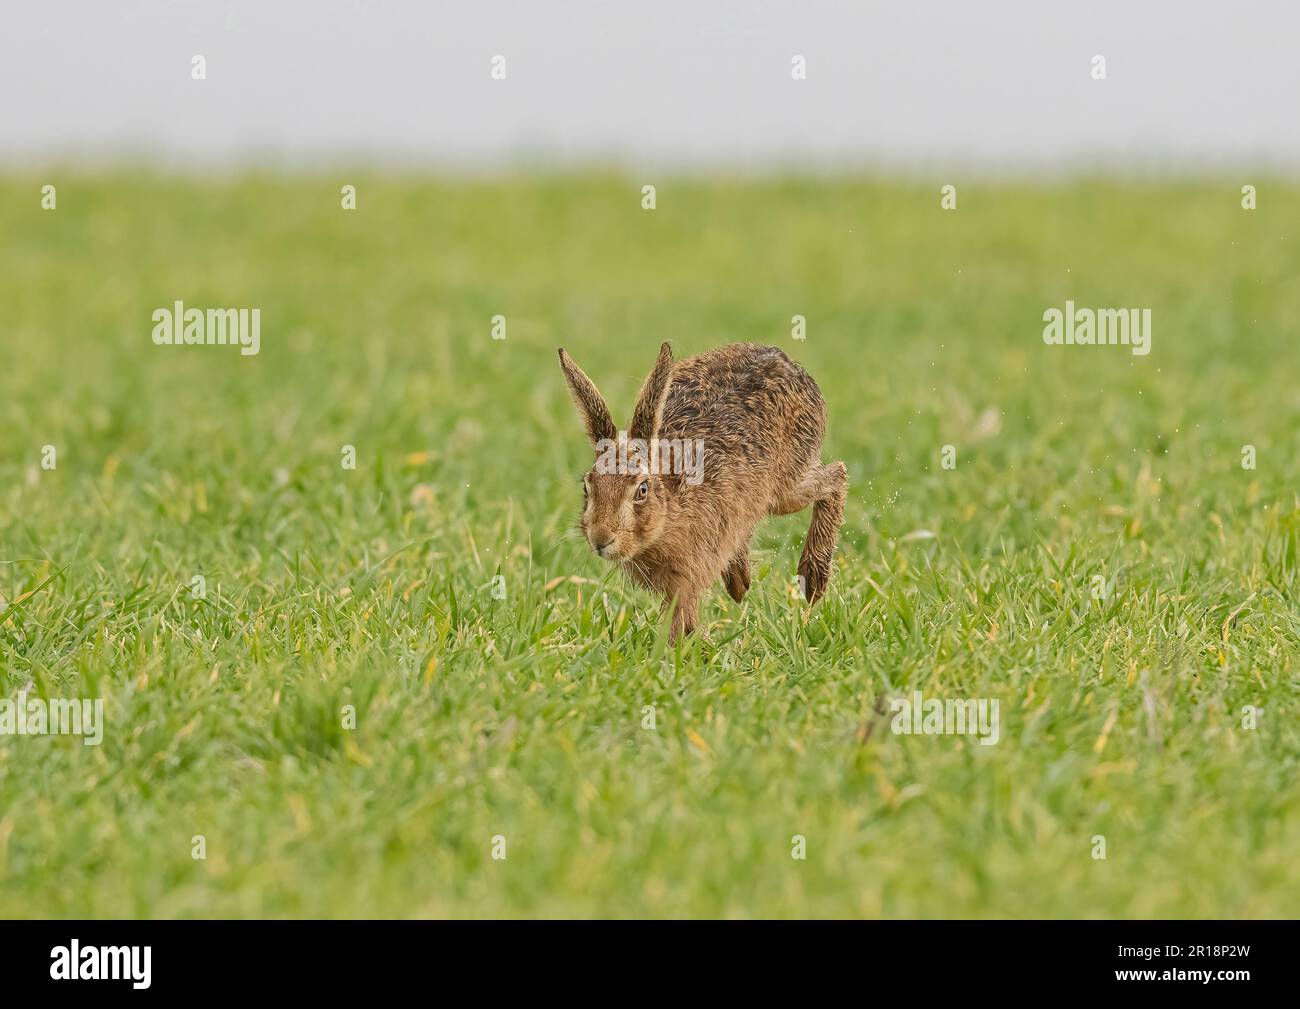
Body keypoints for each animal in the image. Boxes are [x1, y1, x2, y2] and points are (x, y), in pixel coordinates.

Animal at [558, 341, 847, 641]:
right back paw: (739, 582)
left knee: (836, 475)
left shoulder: (690, 574)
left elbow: (681, 621)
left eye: (642, 490)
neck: (669, 511)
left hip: (785, 488)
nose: (600, 538)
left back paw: (813, 581)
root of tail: (785, 360)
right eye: (587, 487)